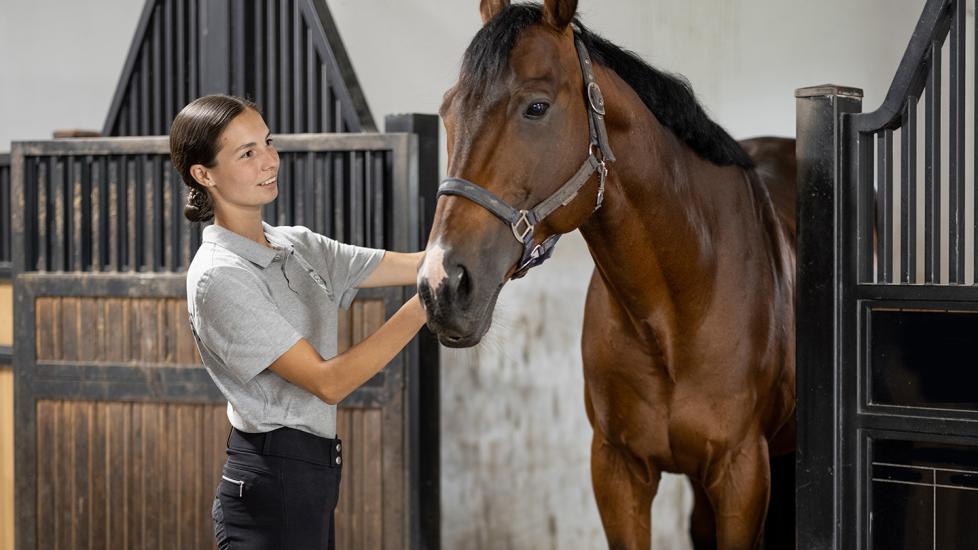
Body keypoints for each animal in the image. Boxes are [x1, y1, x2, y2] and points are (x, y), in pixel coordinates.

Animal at [416, 1, 796, 548]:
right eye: (449, 110)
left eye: (536, 107)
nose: (440, 285)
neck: (677, 310)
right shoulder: (617, 471)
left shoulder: (741, 473)